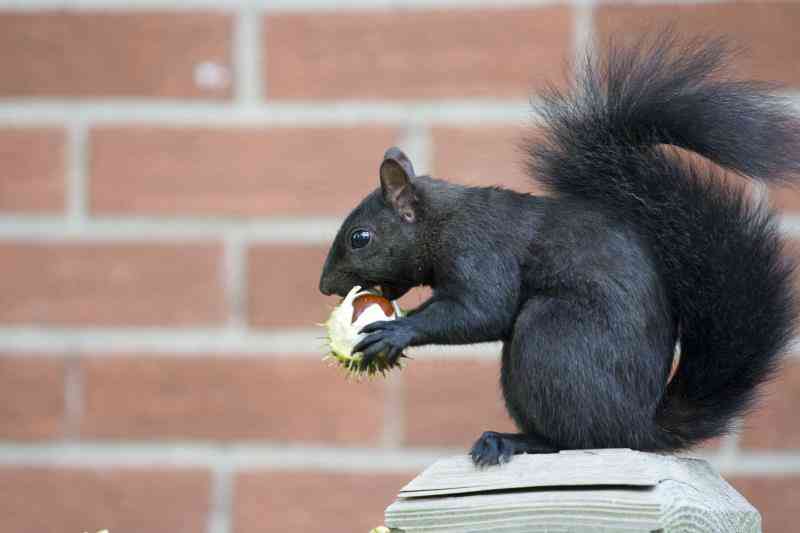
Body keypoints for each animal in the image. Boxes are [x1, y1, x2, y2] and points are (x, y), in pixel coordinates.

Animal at [318, 32, 800, 467]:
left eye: (360, 237)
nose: (325, 287)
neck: (443, 220)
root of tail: (639, 428)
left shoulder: (481, 250)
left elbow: (482, 309)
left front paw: (397, 331)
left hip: (550, 340)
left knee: (575, 438)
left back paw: (510, 441)